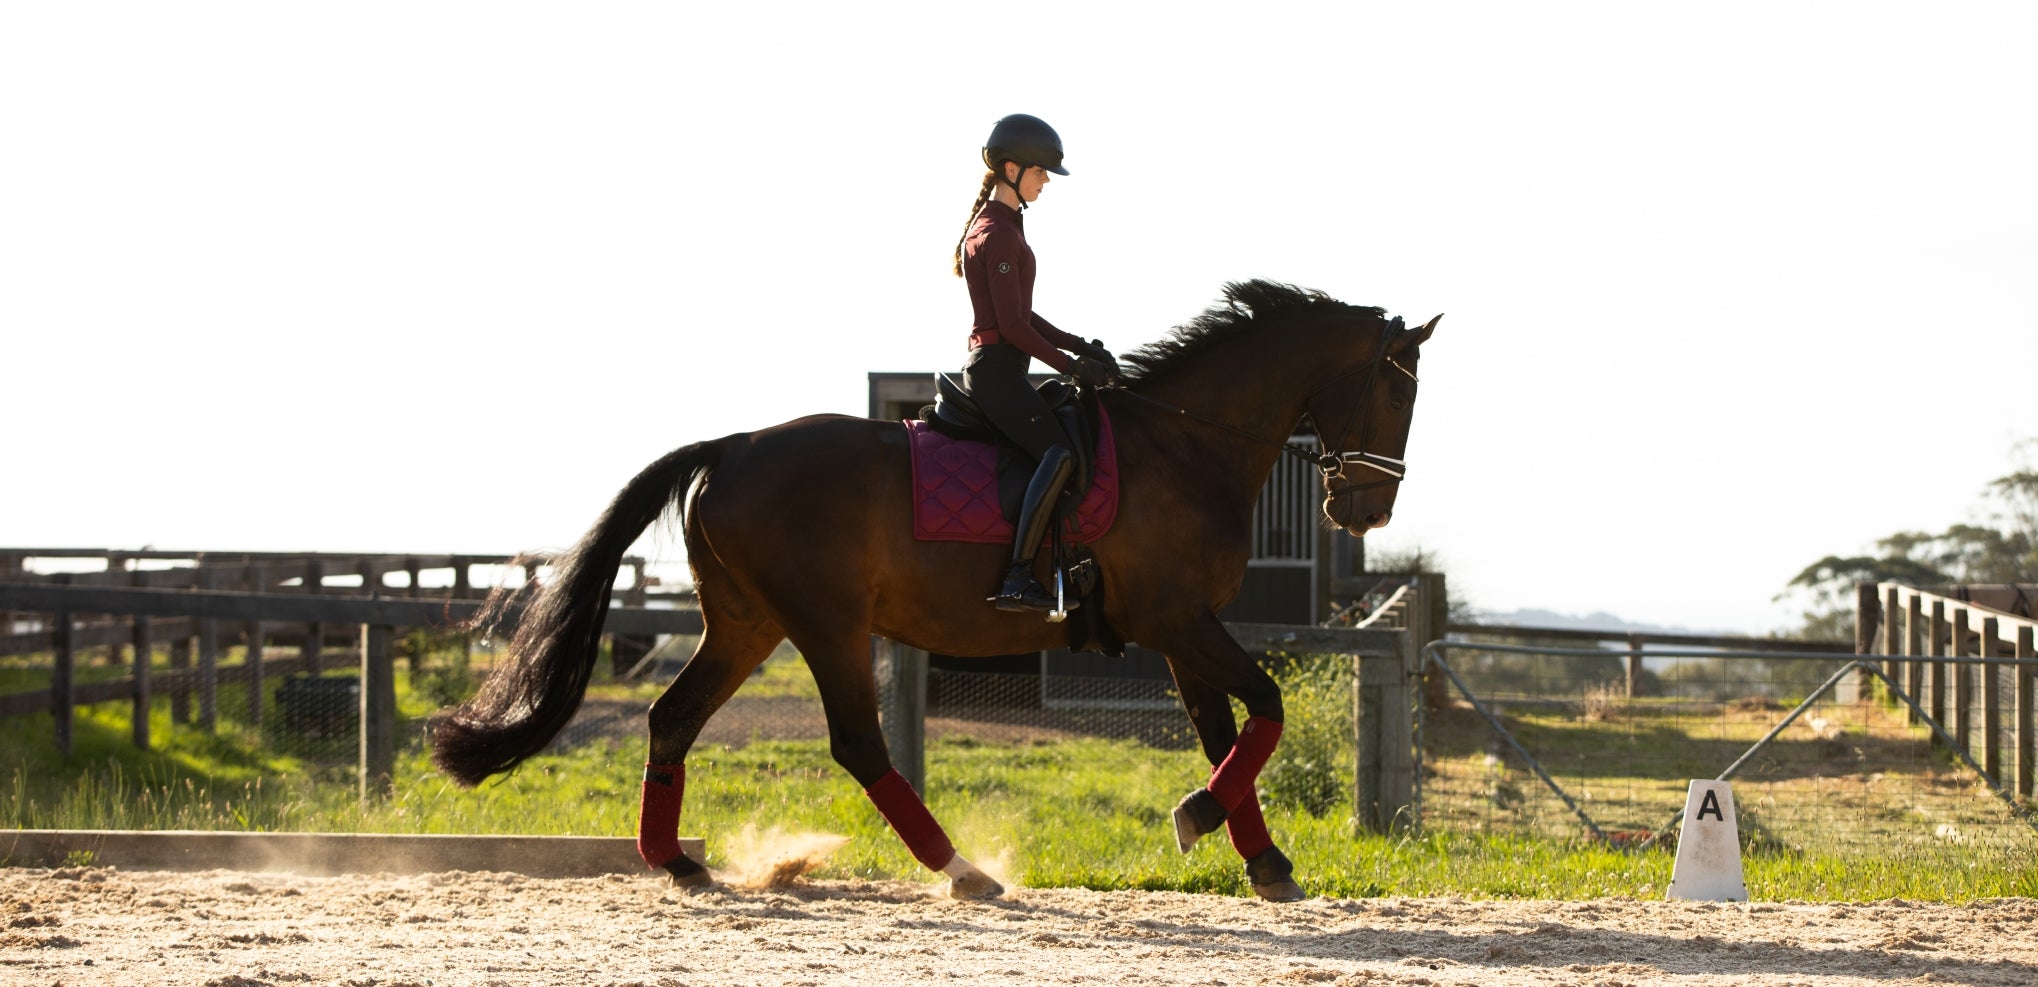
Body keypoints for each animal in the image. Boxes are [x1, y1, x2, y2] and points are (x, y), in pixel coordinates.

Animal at [429, 279, 1437, 901]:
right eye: (1398, 395)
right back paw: (961, 869)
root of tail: (731, 446)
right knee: (857, 744)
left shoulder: (1184, 626)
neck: (1184, 444)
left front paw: (1262, 858)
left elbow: (1230, 733)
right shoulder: (1178, 618)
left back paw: (675, 862)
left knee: (673, 717)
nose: (1367, 509)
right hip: (826, 623)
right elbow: (1264, 710)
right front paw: (1201, 818)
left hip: (749, 623)